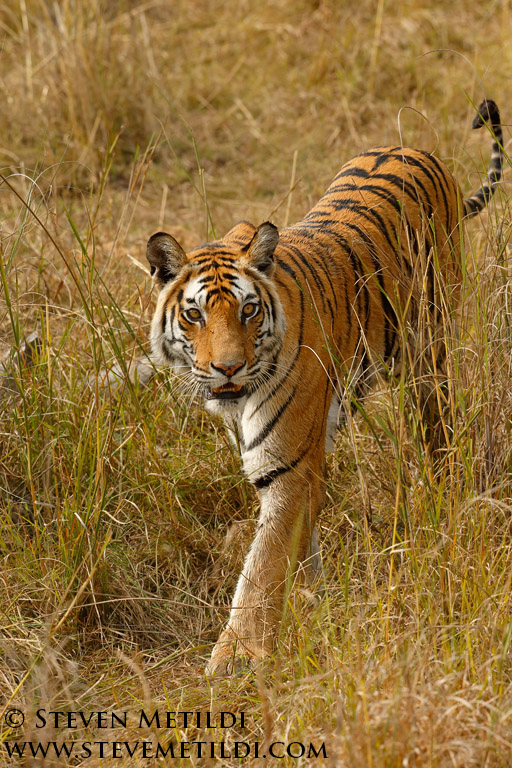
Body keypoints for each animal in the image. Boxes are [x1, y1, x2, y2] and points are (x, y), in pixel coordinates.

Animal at [146, 100, 503, 676]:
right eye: (195, 314)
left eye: (248, 310)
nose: (227, 369)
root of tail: (415, 148)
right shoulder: (295, 456)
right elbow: (294, 535)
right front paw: (309, 598)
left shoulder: (287, 466)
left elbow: (261, 567)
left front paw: (236, 655)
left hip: (429, 352)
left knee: (439, 431)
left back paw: (445, 494)